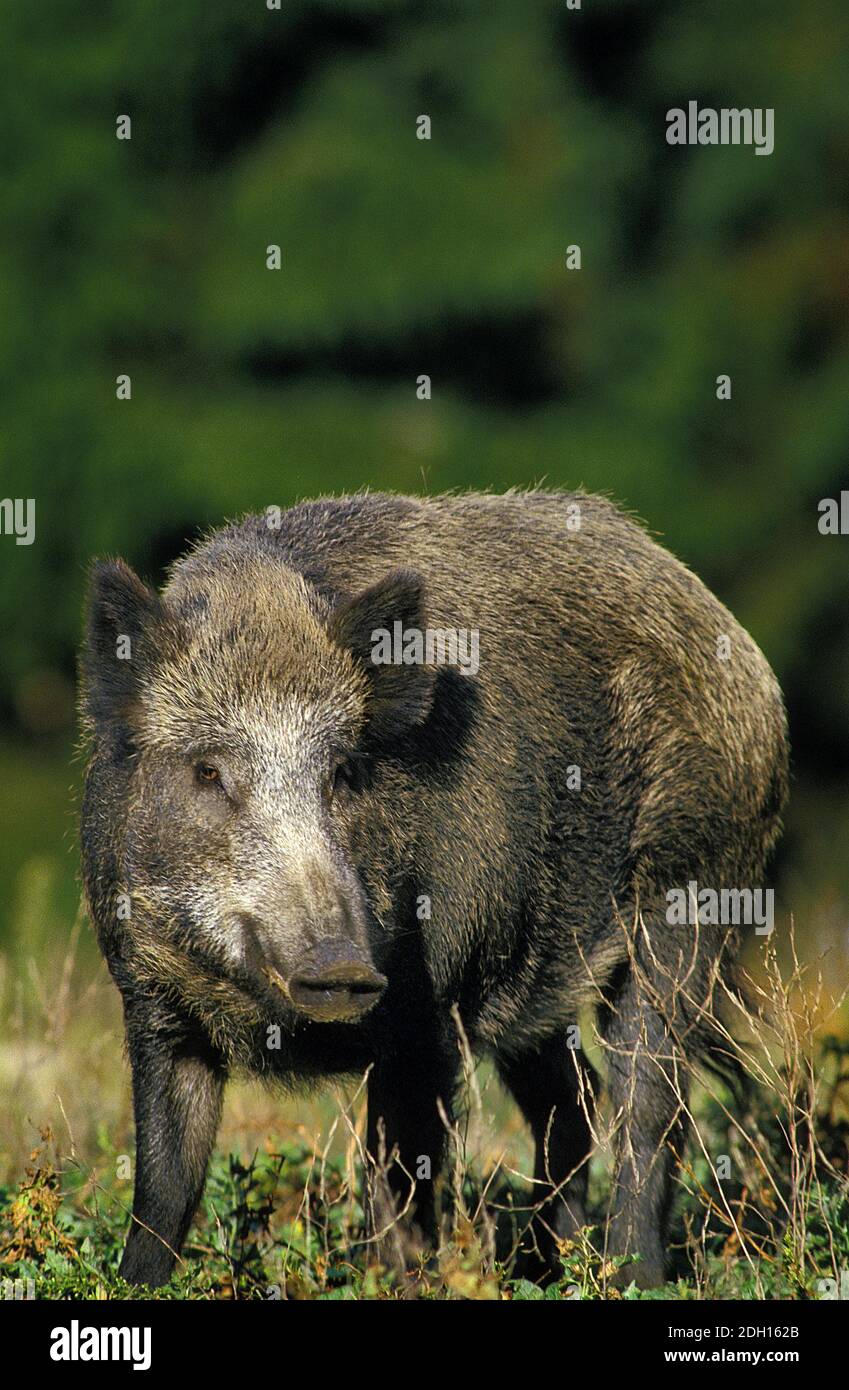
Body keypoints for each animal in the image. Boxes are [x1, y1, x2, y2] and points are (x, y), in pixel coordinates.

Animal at [79, 490, 788, 1289]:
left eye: (346, 770)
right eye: (206, 771)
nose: (342, 965)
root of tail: (747, 664)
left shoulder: (427, 1009)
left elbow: (401, 1176)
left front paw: (399, 1279)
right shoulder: (150, 1001)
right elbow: (164, 1183)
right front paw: (134, 1281)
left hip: (689, 890)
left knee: (647, 1101)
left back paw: (628, 1276)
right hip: (534, 968)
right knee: (571, 1097)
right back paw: (546, 1268)